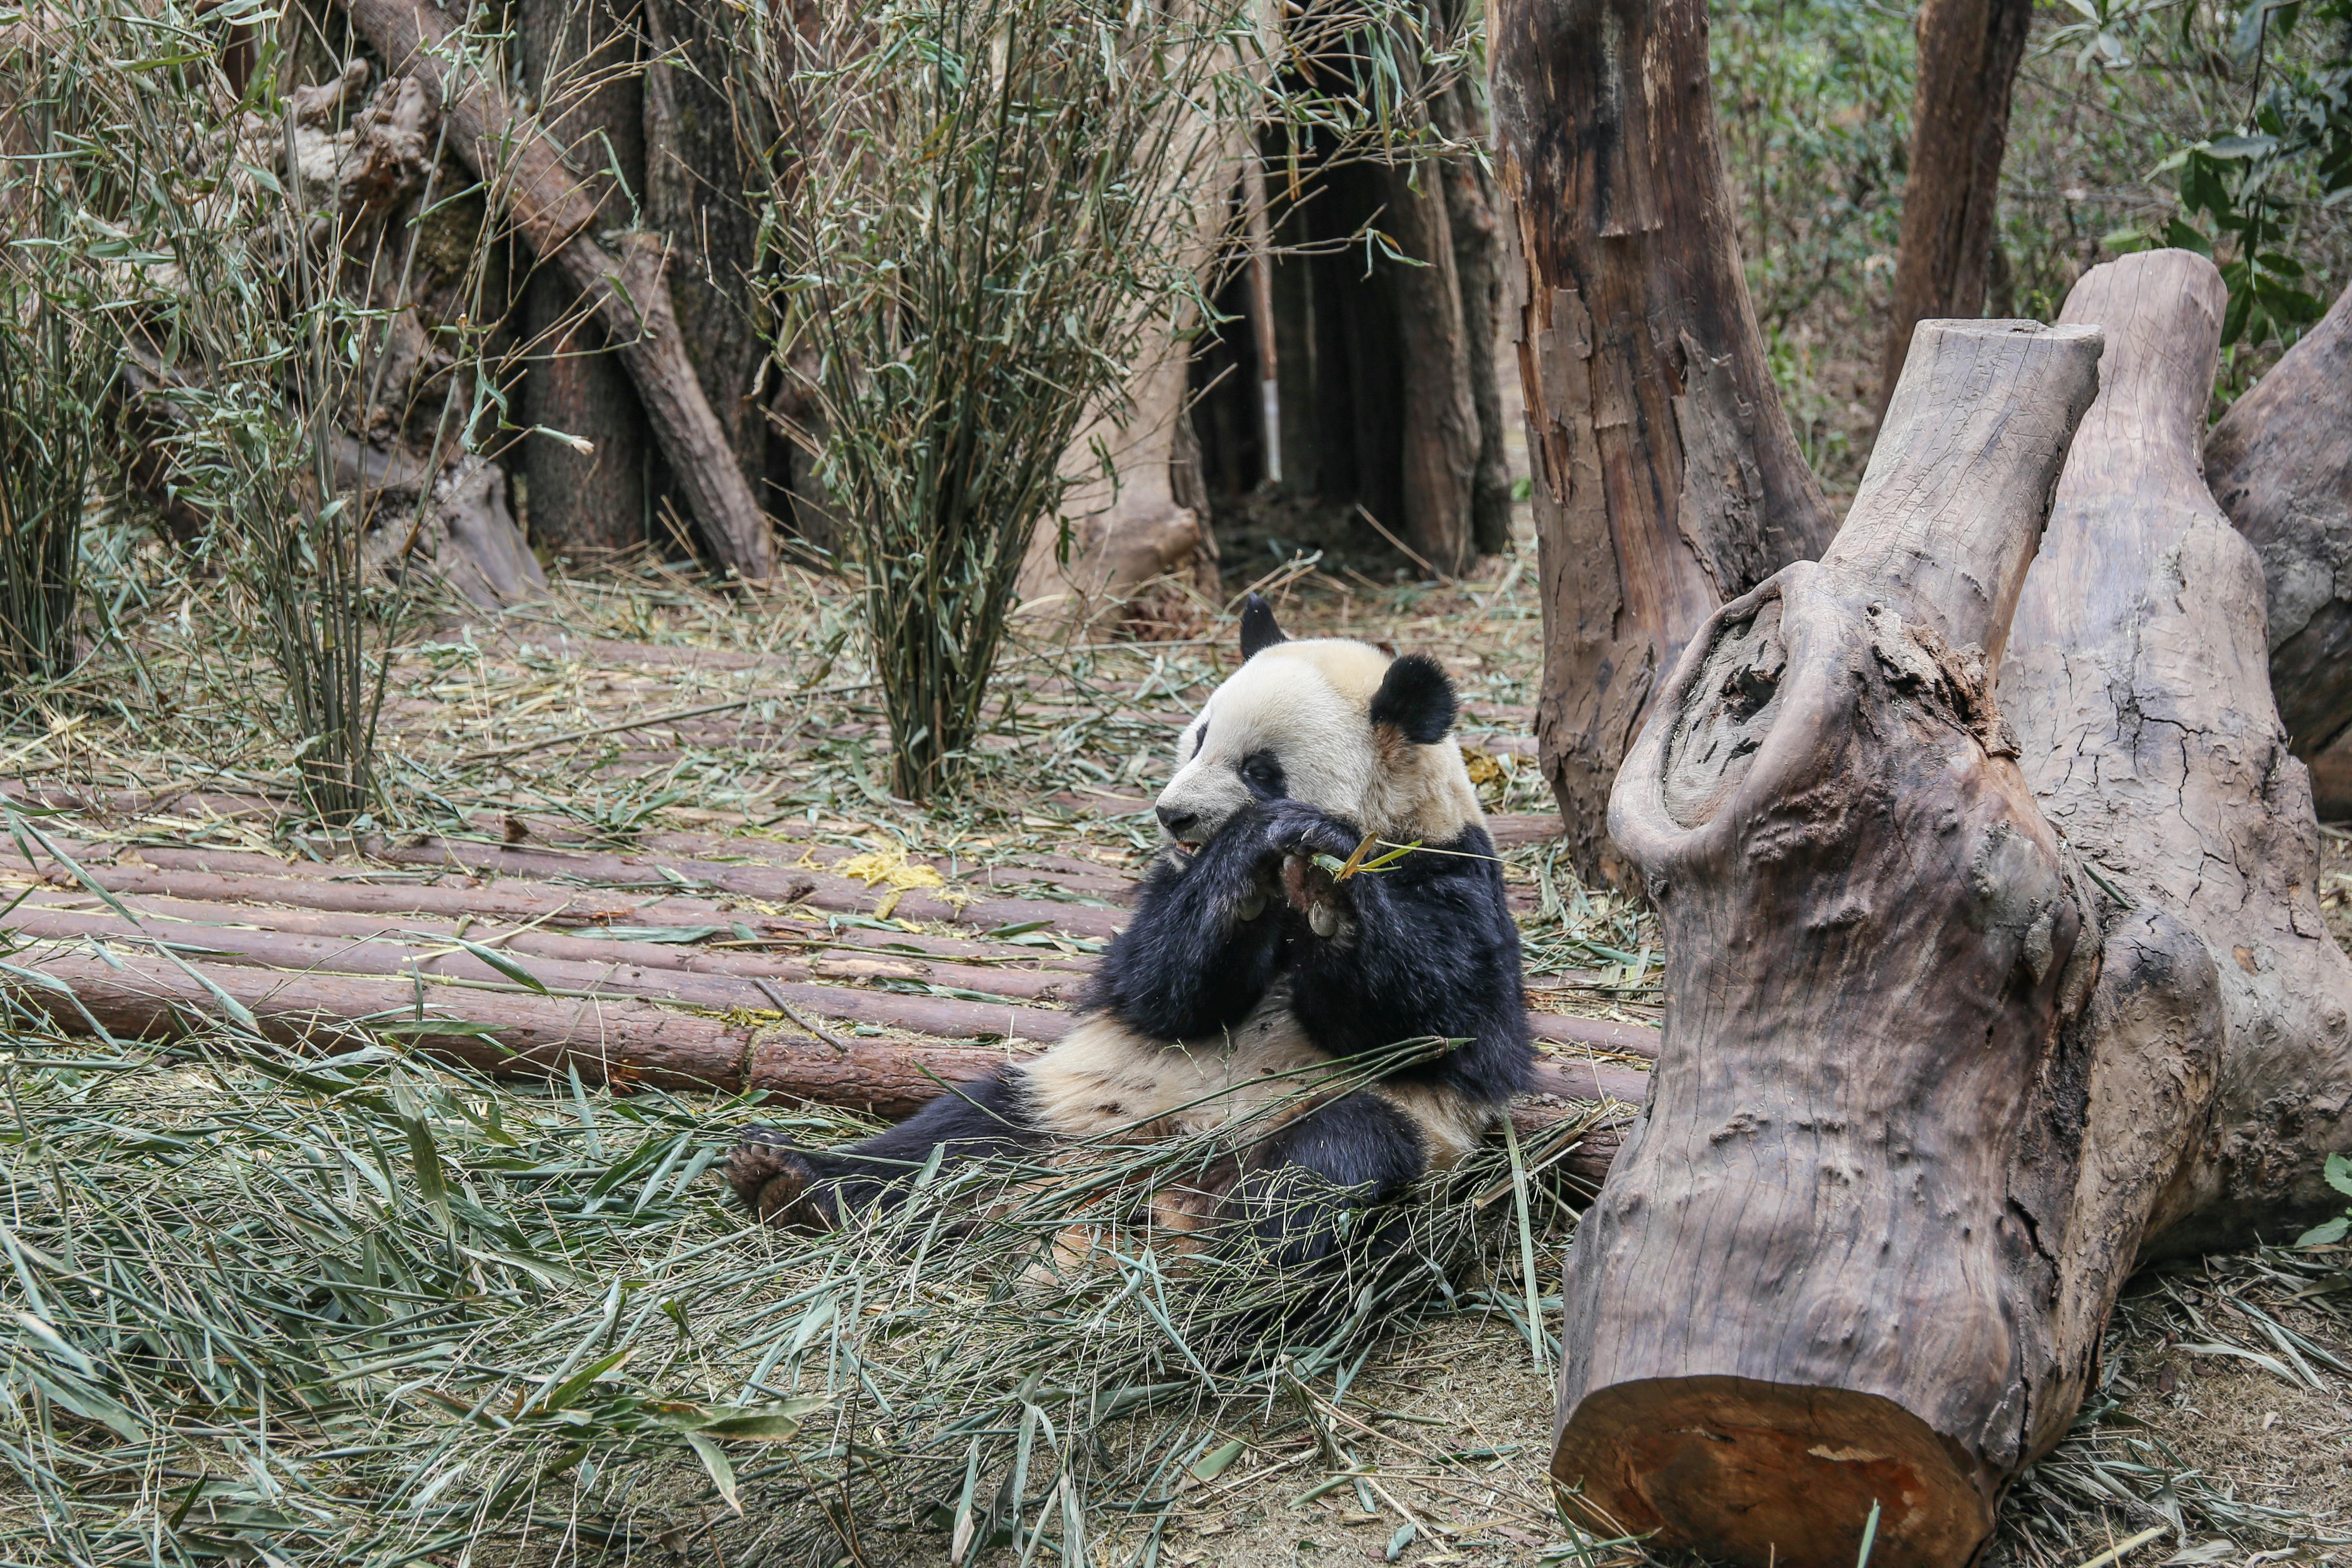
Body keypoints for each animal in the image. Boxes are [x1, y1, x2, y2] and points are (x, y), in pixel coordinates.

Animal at [725, 593, 1533, 1265]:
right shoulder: (1169, 890)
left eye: (1261, 768)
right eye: (1198, 738)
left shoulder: (1454, 874)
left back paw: (1228, 1246)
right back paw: (787, 1178)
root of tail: (1154, 1171)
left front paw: (1331, 889)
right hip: (1078, 1096)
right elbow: (1158, 990)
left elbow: (1437, 1018)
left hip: (1370, 1118)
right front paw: (1249, 862)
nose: (1173, 815)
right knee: (954, 1133)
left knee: (1331, 1162)